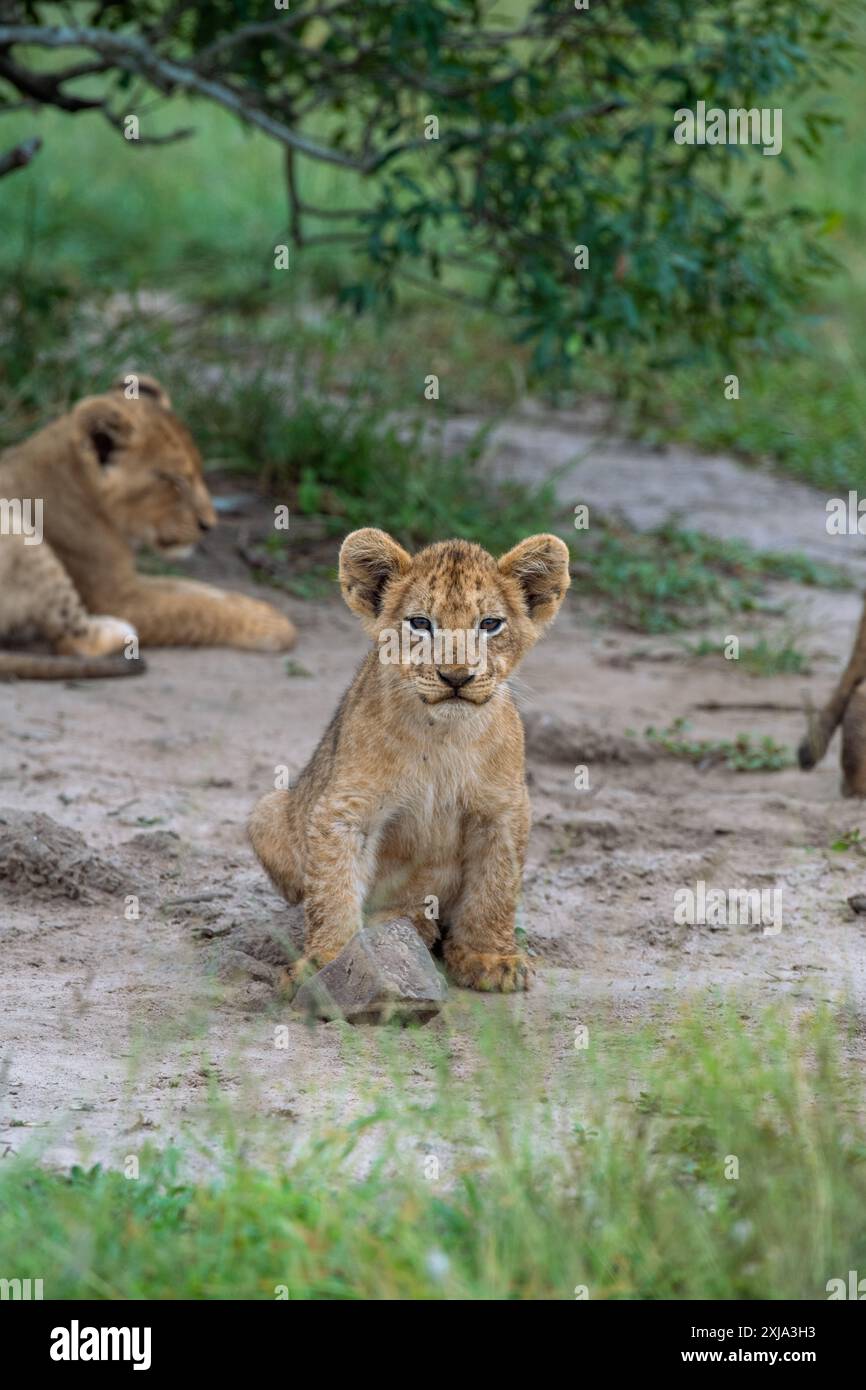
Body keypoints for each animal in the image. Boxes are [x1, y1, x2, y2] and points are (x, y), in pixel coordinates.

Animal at [0, 375, 296, 679]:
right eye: (175, 481)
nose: (209, 525)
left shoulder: (130, 580)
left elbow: (194, 589)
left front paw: (264, 610)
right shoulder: (114, 598)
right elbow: (193, 609)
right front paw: (274, 627)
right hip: (16, 529)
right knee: (74, 643)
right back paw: (122, 630)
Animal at [249, 526, 570, 992]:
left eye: (490, 624)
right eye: (420, 623)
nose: (456, 677)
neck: (442, 736)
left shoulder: (503, 810)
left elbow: (495, 890)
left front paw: (489, 957)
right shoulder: (345, 808)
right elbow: (332, 888)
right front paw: (326, 960)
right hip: (268, 810)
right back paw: (408, 924)